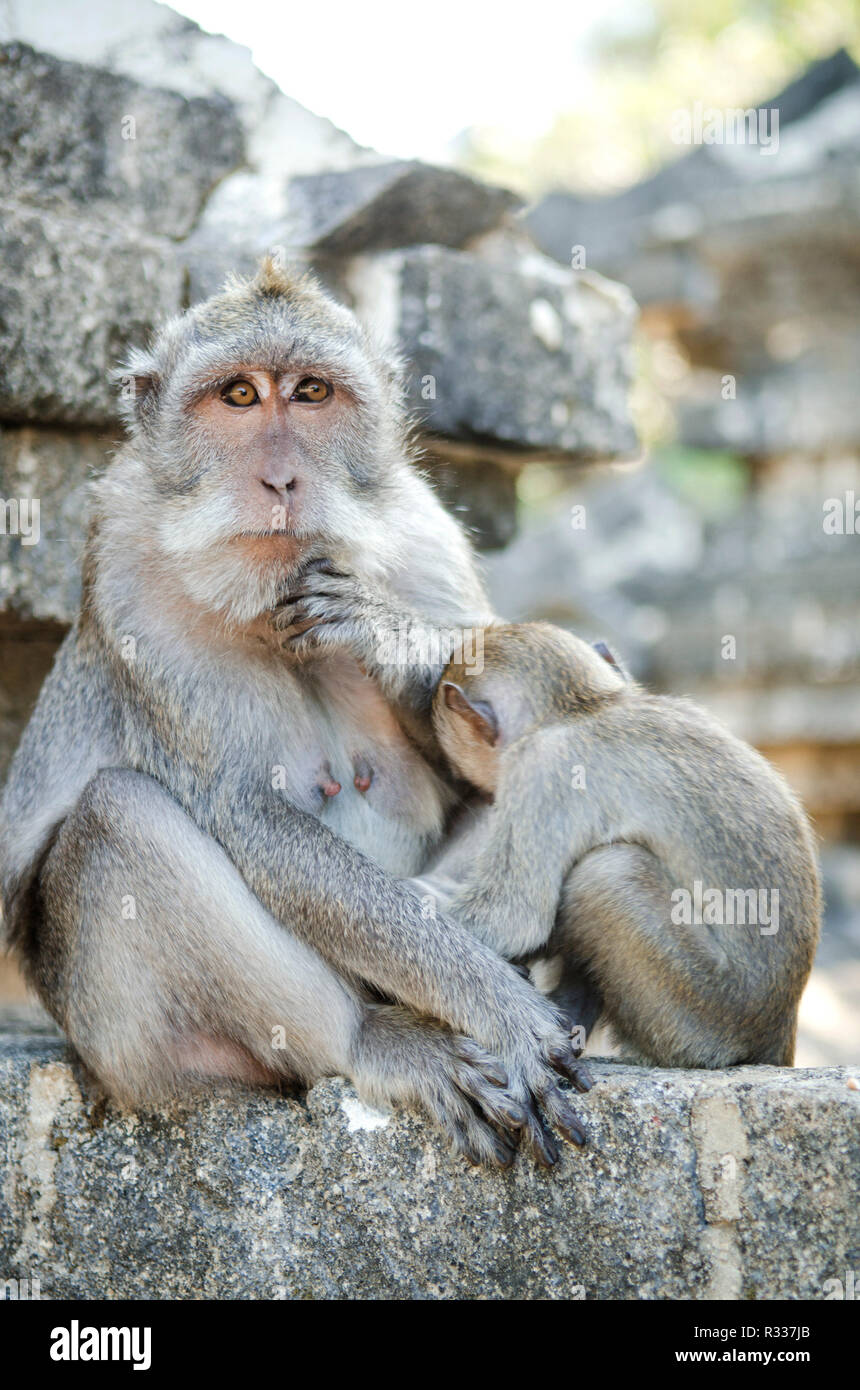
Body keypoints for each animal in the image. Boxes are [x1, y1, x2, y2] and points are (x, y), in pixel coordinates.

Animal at [0, 259, 592, 1172]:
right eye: (239, 396)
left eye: (312, 393)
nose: (282, 480)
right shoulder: (129, 572)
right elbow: (248, 812)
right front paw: (497, 1005)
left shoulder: (425, 538)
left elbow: (486, 766)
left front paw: (380, 634)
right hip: (129, 1048)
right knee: (120, 817)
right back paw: (379, 1042)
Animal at [411, 622, 821, 1069]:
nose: (481, 794)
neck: (584, 707)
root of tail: (778, 1029)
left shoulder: (541, 768)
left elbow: (511, 918)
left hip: (702, 1017)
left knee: (607, 873)